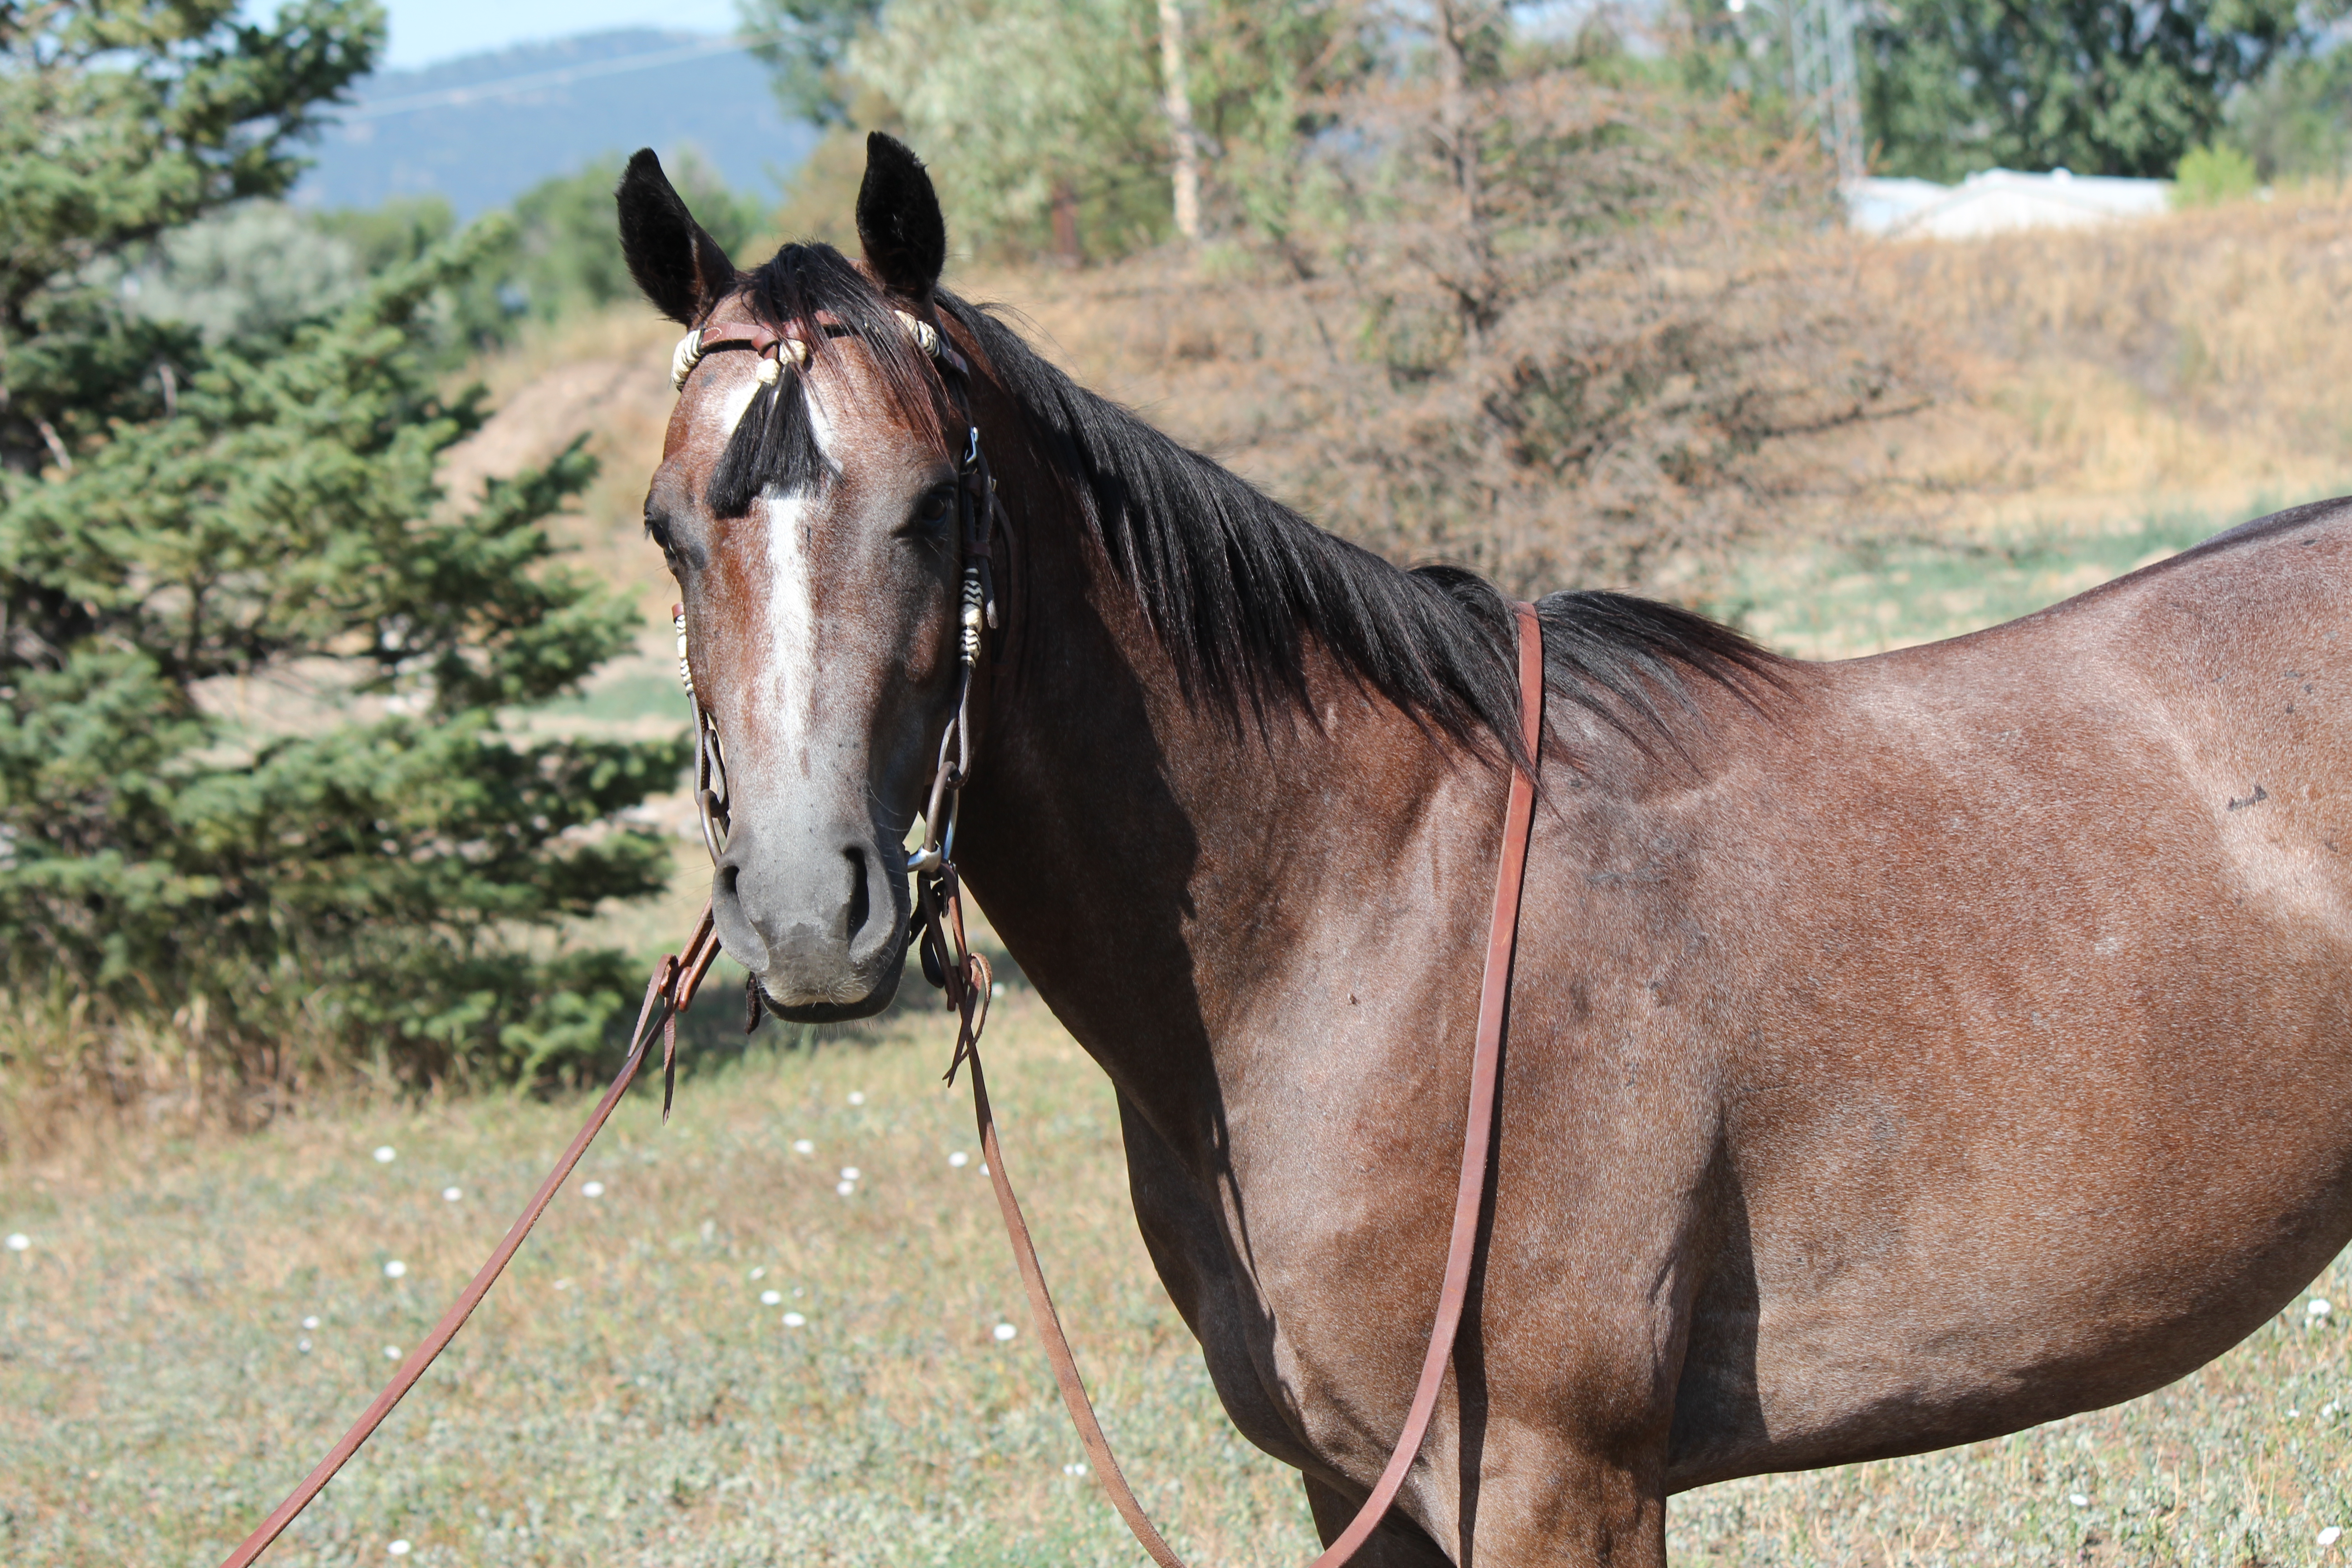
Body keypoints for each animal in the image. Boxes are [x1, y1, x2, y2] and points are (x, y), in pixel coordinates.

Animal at [616, 133, 2352, 1565]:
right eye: (668, 529)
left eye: (930, 507)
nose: (804, 912)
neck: (1370, 917)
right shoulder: (1353, 1490)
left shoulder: (1555, 1480)